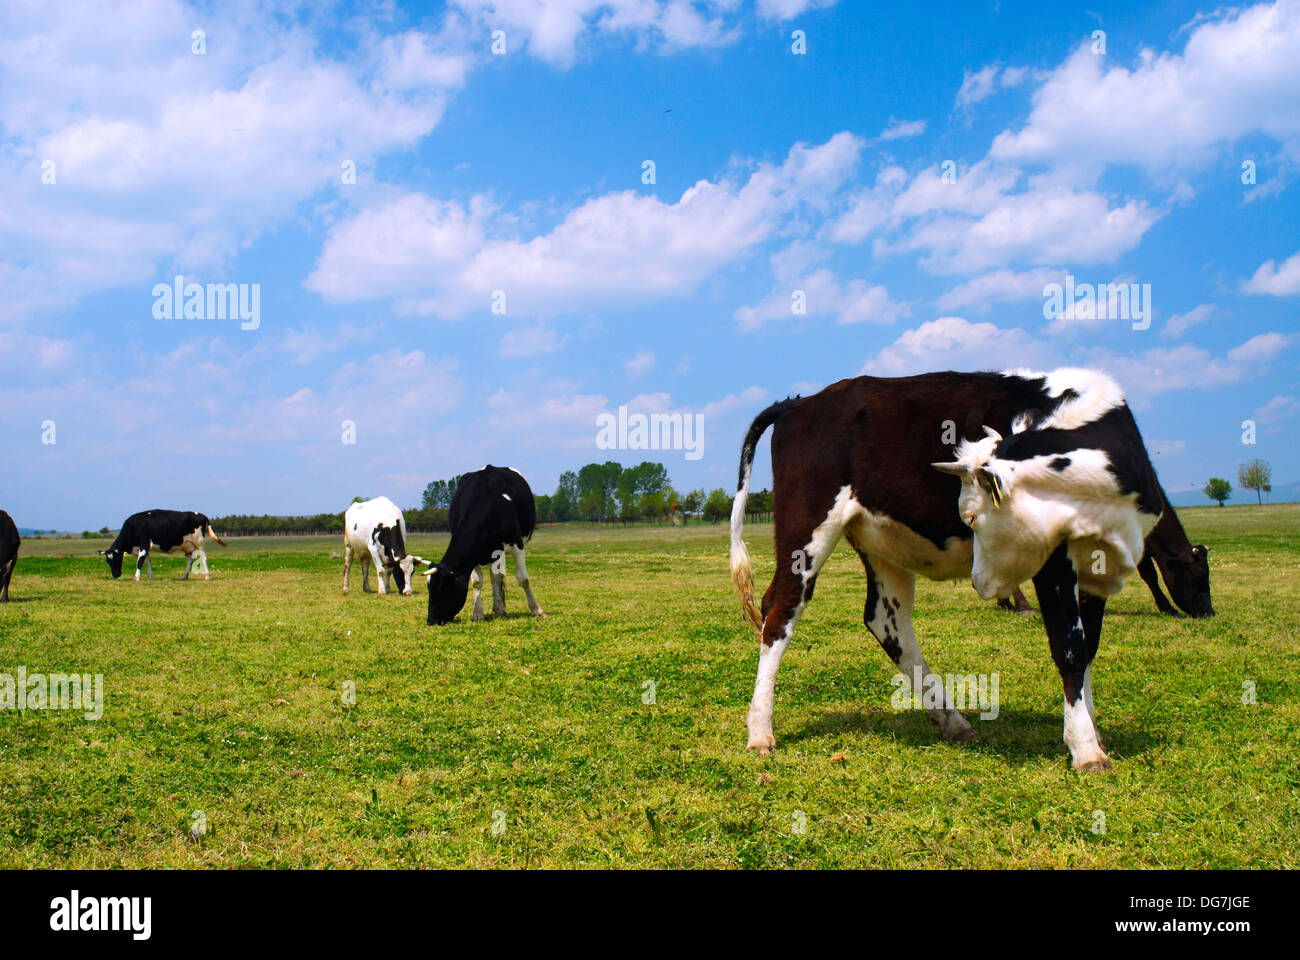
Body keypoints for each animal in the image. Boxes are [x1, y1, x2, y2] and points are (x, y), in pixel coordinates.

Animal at [421, 466, 545, 625]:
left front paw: (536, 610)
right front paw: (477, 613)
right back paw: (499, 608)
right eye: (429, 589)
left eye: (444, 588)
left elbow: (523, 579)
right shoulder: (472, 557)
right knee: (495, 577)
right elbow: (476, 582)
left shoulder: (517, 546)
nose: (431, 621)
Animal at [729, 367, 1160, 772]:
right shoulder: (1054, 560)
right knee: (779, 611)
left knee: (887, 622)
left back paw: (951, 720)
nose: (979, 582)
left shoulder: (1096, 570)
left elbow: (1088, 646)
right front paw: (1086, 749)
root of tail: (800, 403)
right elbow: (1069, 647)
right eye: (967, 518)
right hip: (807, 529)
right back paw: (760, 730)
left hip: (881, 541)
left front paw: (1091, 730)